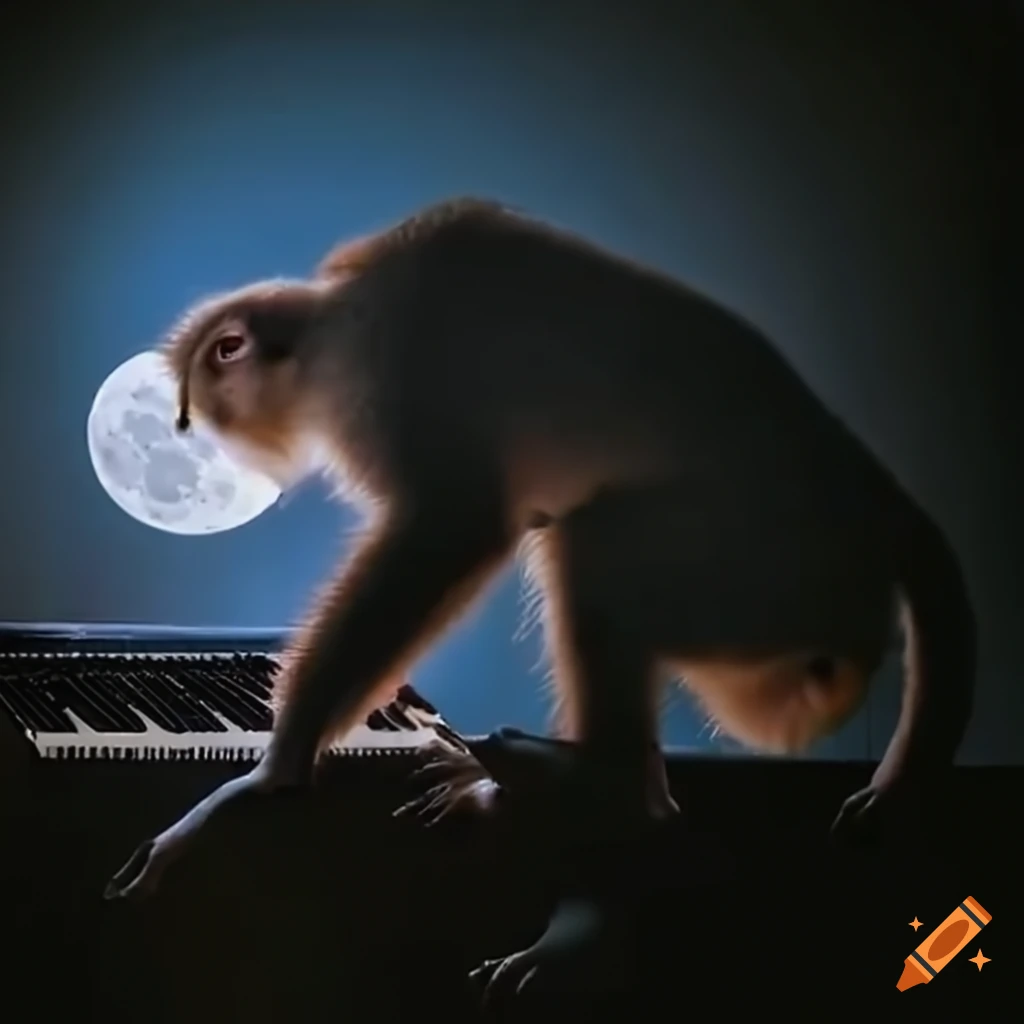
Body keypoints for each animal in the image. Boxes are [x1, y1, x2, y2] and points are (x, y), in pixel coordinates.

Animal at [106, 197, 975, 1007]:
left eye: (201, 386)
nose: (183, 423)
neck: (341, 319)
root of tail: (875, 499)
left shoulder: (391, 369)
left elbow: (453, 530)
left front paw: (269, 778)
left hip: (764, 571)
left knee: (594, 551)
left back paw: (595, 875)